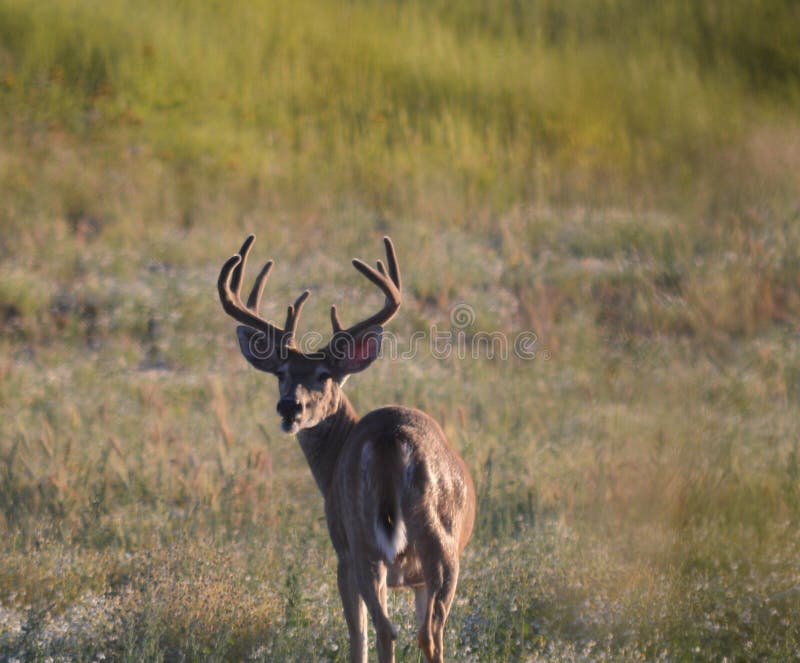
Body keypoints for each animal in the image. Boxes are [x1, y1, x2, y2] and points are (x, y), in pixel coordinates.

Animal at [217, 234, 475, 663]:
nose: (289, 407)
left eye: (324, 375)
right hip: (442, 545)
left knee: (383, 629)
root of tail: (391, 439)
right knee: (431, 633)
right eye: (281, 373)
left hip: (362, 540)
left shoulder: (341, 550)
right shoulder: (417, 578)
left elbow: (358, 633)